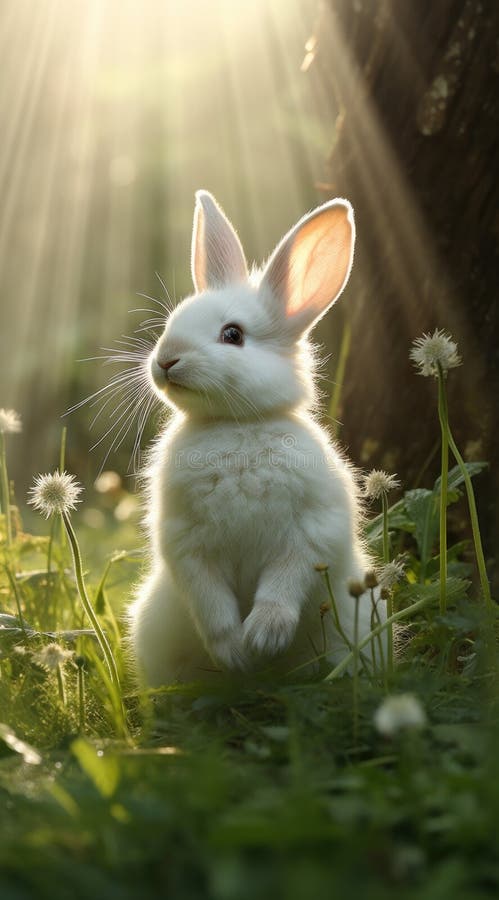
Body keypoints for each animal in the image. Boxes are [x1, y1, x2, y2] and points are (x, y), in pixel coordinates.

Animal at [129, 190, 384, 686]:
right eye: (173, 322)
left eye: (233, 335)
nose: (166, 360)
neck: (237, 425)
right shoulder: (187, 542)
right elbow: (210, 602)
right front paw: (236, 653)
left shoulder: (309, 531)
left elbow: (284, 584)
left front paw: (264, 637)